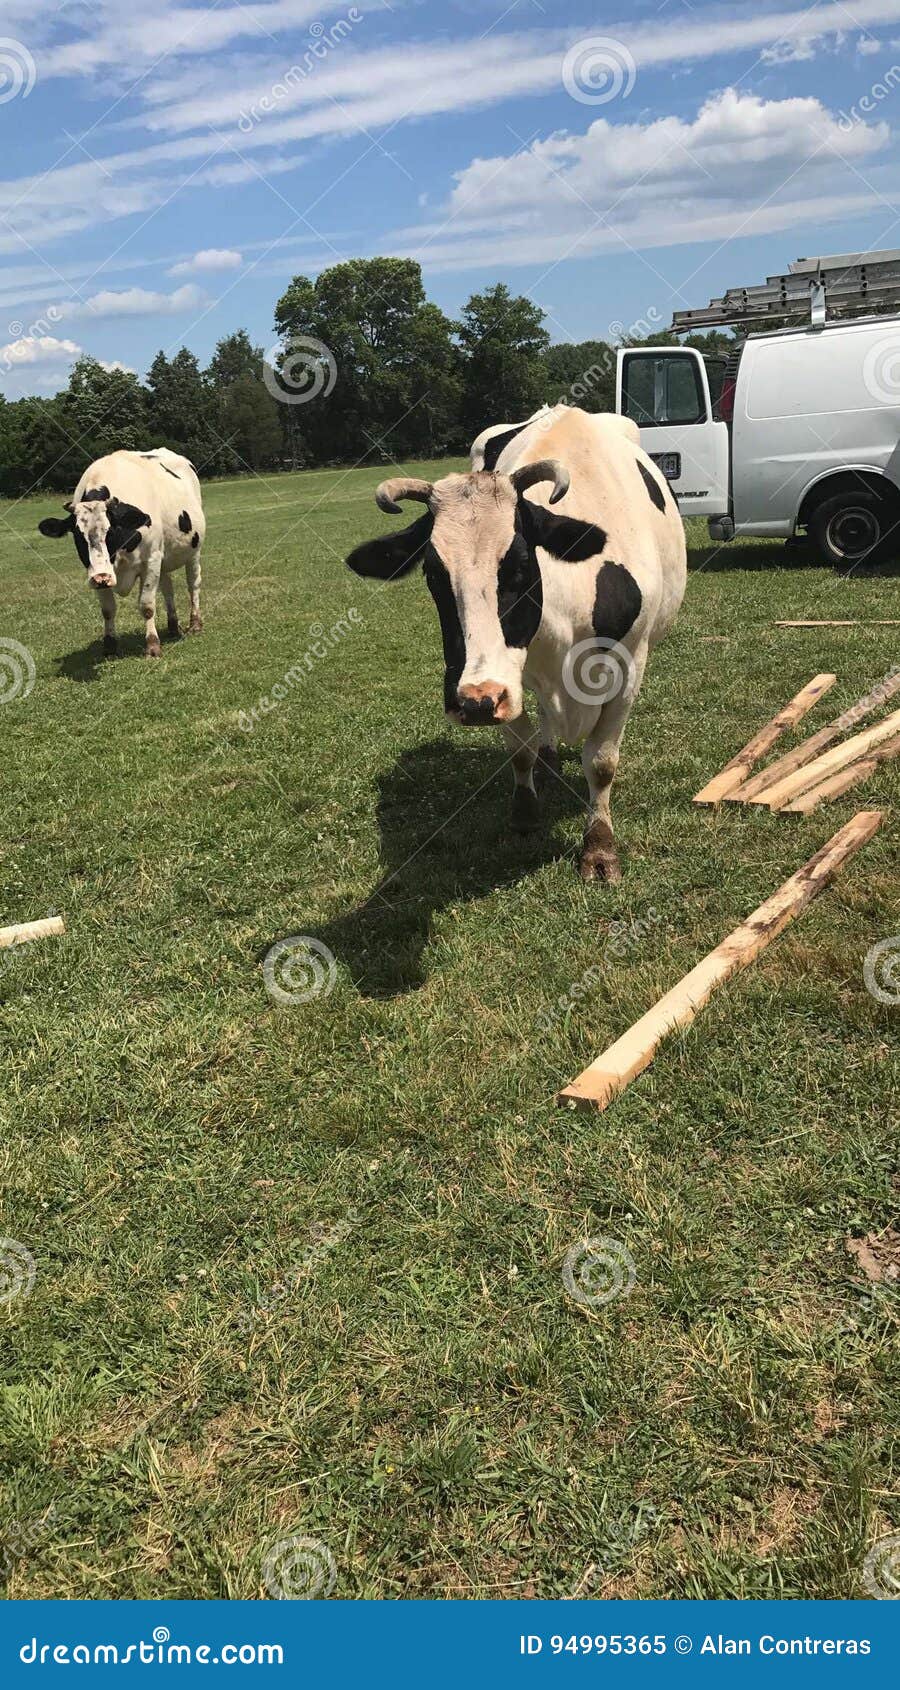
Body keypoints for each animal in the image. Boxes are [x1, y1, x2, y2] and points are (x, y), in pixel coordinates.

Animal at [37, 448, 205, 658]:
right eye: (78, 535)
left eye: (111, 531)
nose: (101, 577)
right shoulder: (97, 571)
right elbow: (108, 609)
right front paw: (109, 645)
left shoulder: (151, 560)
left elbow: (147, 605)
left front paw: (152, 645)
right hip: (163, 557)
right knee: (168, 589)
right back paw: (173, 627)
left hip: (193, 551)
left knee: (193, 584)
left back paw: (195, 624)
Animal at [346, 405, 686, 881]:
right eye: (432, 574)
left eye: (522, 565)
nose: (472, 701)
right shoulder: (509, 680)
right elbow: (520, 750)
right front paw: (525, 814)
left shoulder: (631, 664)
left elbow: (601, 761)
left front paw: (599, 848)